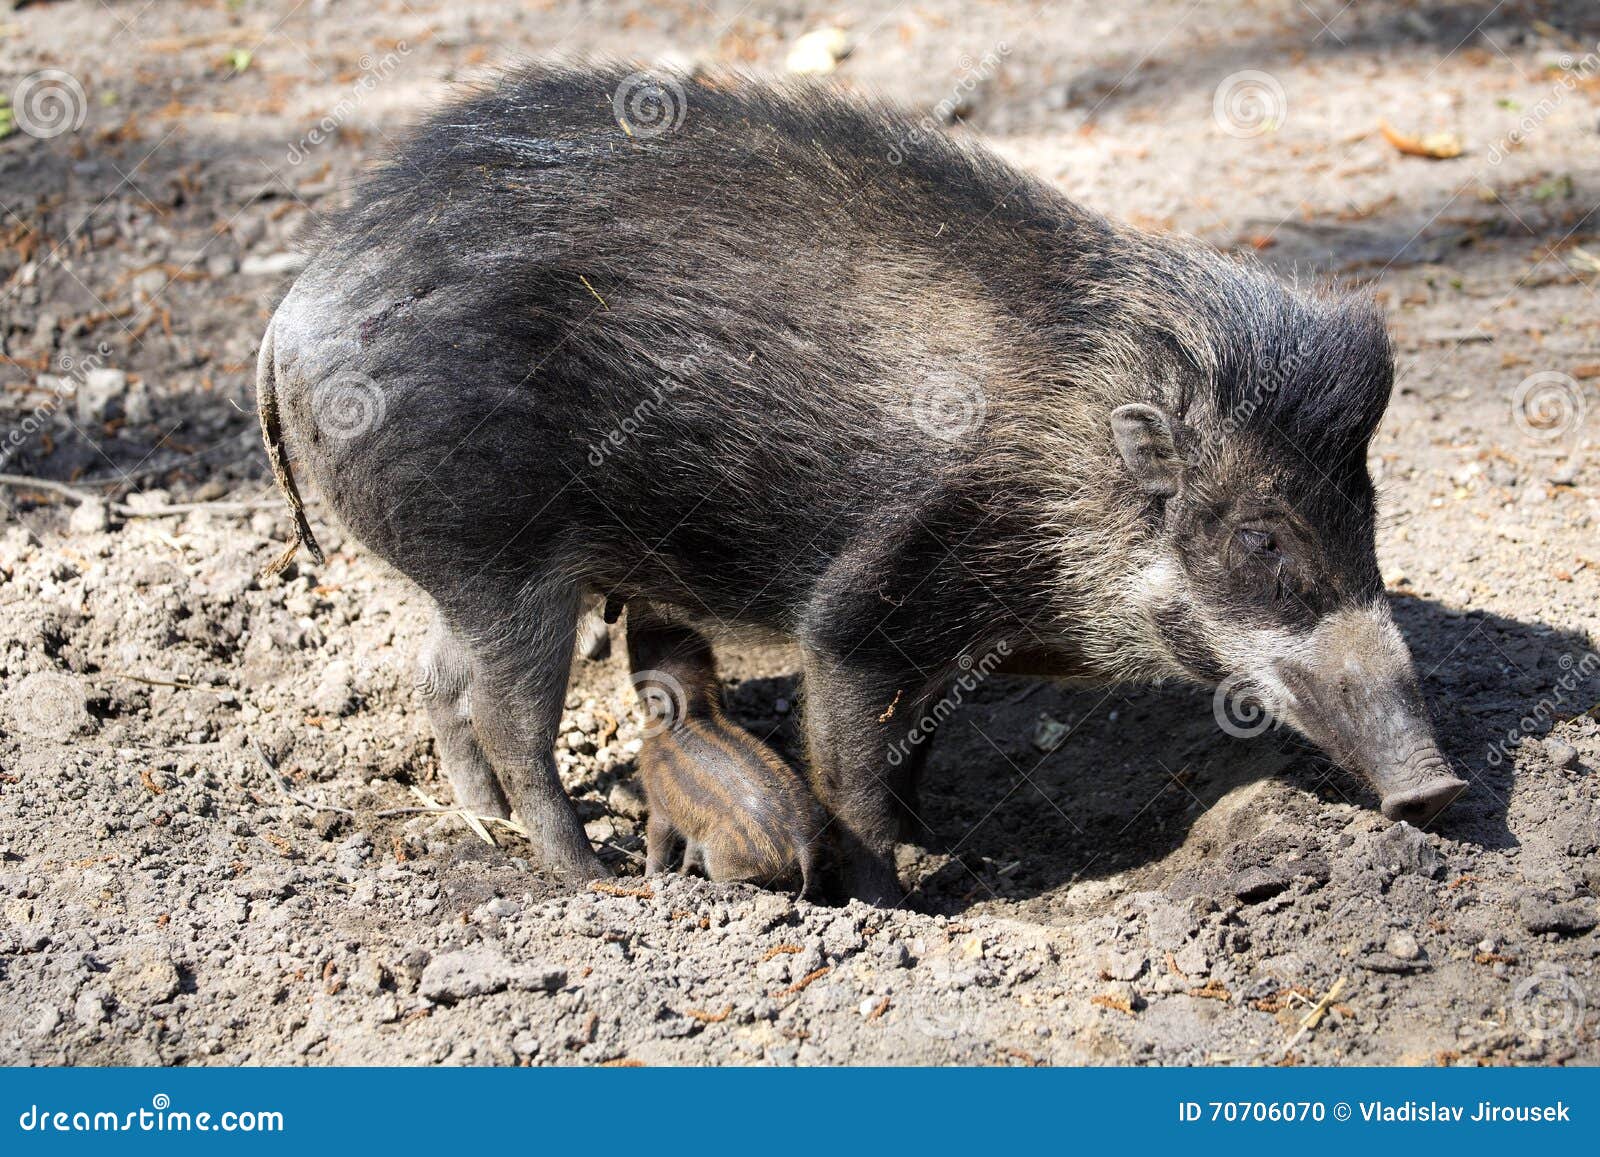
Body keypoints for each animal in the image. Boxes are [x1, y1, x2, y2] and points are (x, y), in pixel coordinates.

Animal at [626, 608, 821, 894]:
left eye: (639, 653)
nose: (636, 615)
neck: (693, 715)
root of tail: (802, 845)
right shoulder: (694, 822)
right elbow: (691, 848)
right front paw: (684, 872)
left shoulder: (659, 802)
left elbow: (658, 842)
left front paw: (649, 878)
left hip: (725, 859)